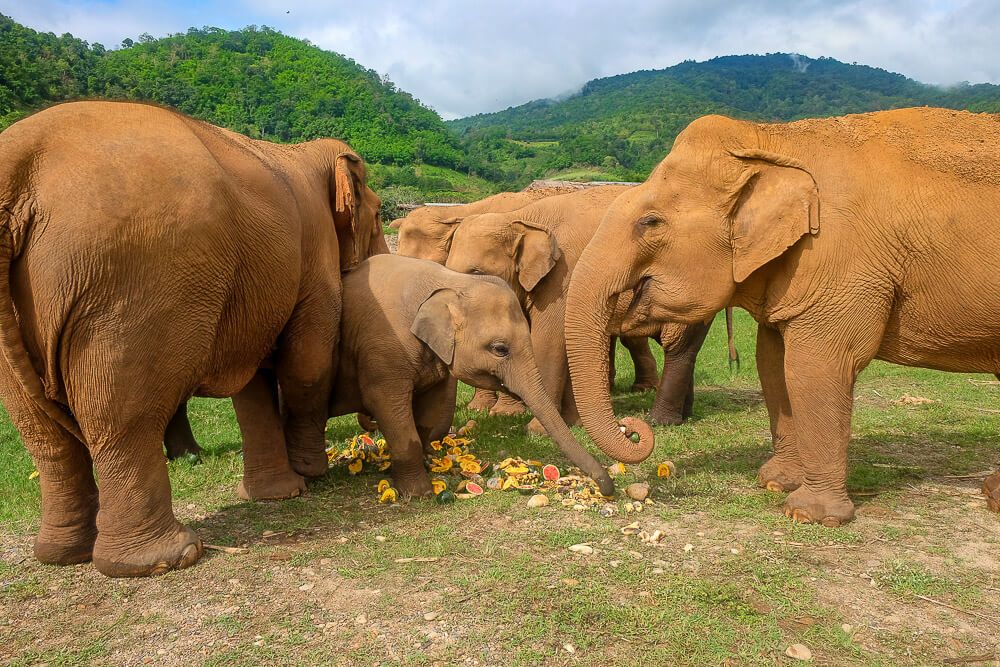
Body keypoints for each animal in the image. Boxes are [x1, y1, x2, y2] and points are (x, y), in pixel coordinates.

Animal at [0, 101, 381, 576]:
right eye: (380, 215)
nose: (370, 430)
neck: (304, 152)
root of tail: (17, 167)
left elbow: (253, 380)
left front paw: (278, 493)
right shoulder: (315, 255)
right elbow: (307, 364)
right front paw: (312, 475)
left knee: (42, 431)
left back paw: (63, 555)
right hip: (132, 287)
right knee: (123, 414)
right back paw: (169, 557)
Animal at [326, 254, 614, 496]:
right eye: (500, 349)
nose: (608, 488)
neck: (450, 282)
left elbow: (432, 411)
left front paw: (432, 467)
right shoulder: (384, 351)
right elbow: (387, 405)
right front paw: (420, 494)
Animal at [444, 185, 731, 455]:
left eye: (476, 273)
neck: (521, 218)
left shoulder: (563, 277)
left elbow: (548, 342)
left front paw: (535, 430)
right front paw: (564, 422)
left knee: (676, 347)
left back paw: (662, 419)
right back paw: (684, 414)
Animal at [563, 107, 1000, 525]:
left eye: (650, 222)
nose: (634, 430)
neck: (770, 137)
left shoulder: (838, 259)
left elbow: (815, 365)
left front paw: (809, 515)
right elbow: (772, 362)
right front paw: (774, 483)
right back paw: (992, 495)